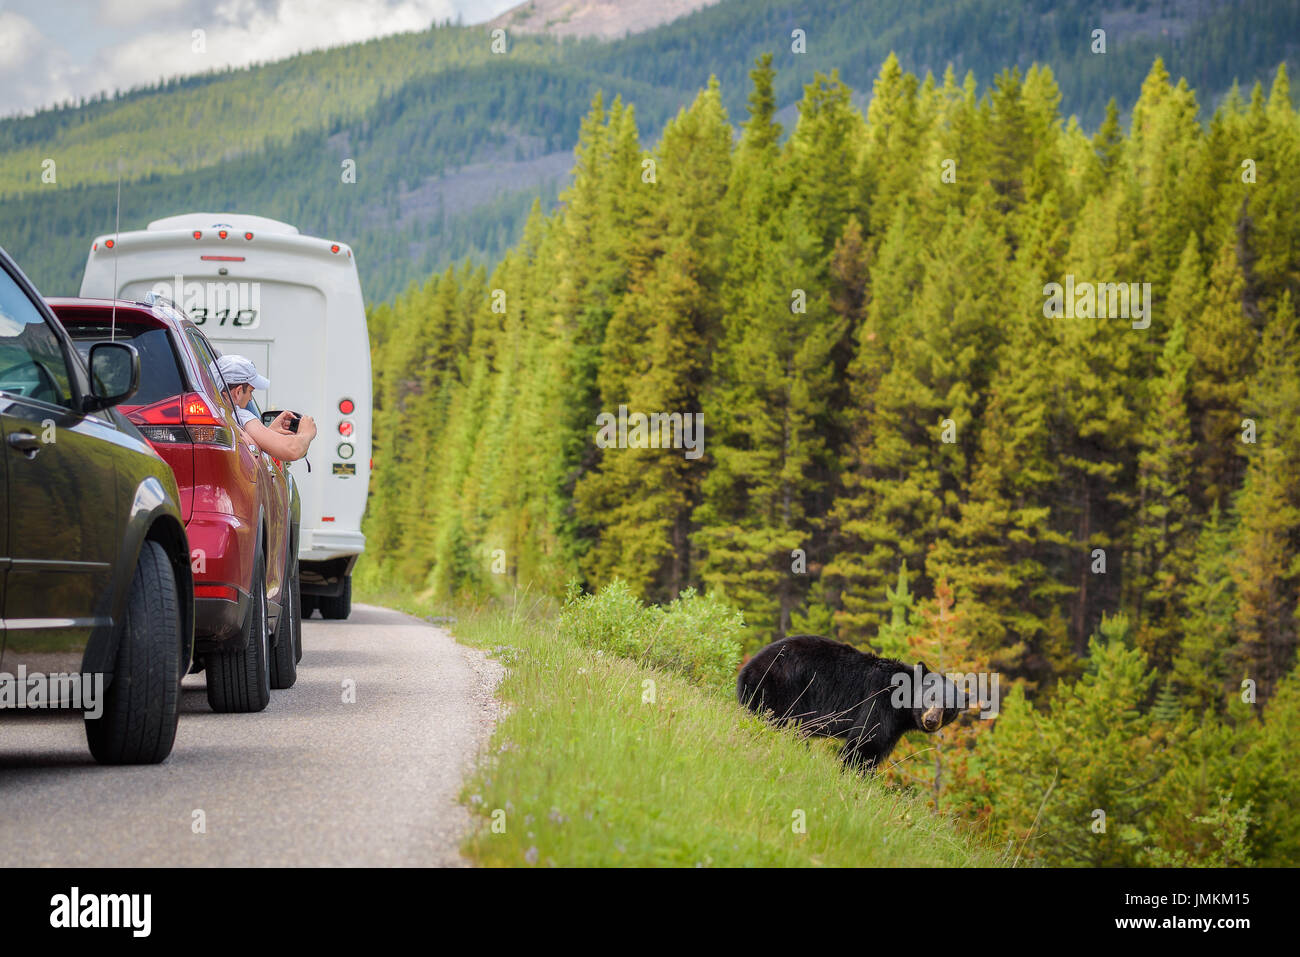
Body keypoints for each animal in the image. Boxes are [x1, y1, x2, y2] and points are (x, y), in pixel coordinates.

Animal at [737, 634, 964, 772]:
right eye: (931, 697)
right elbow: (867, 741)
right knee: (785, 726)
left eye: (949, 708)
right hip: (783, 689)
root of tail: (747, 669)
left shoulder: (896, 724)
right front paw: (855, 774)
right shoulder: (881, 701)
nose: (931, 720)